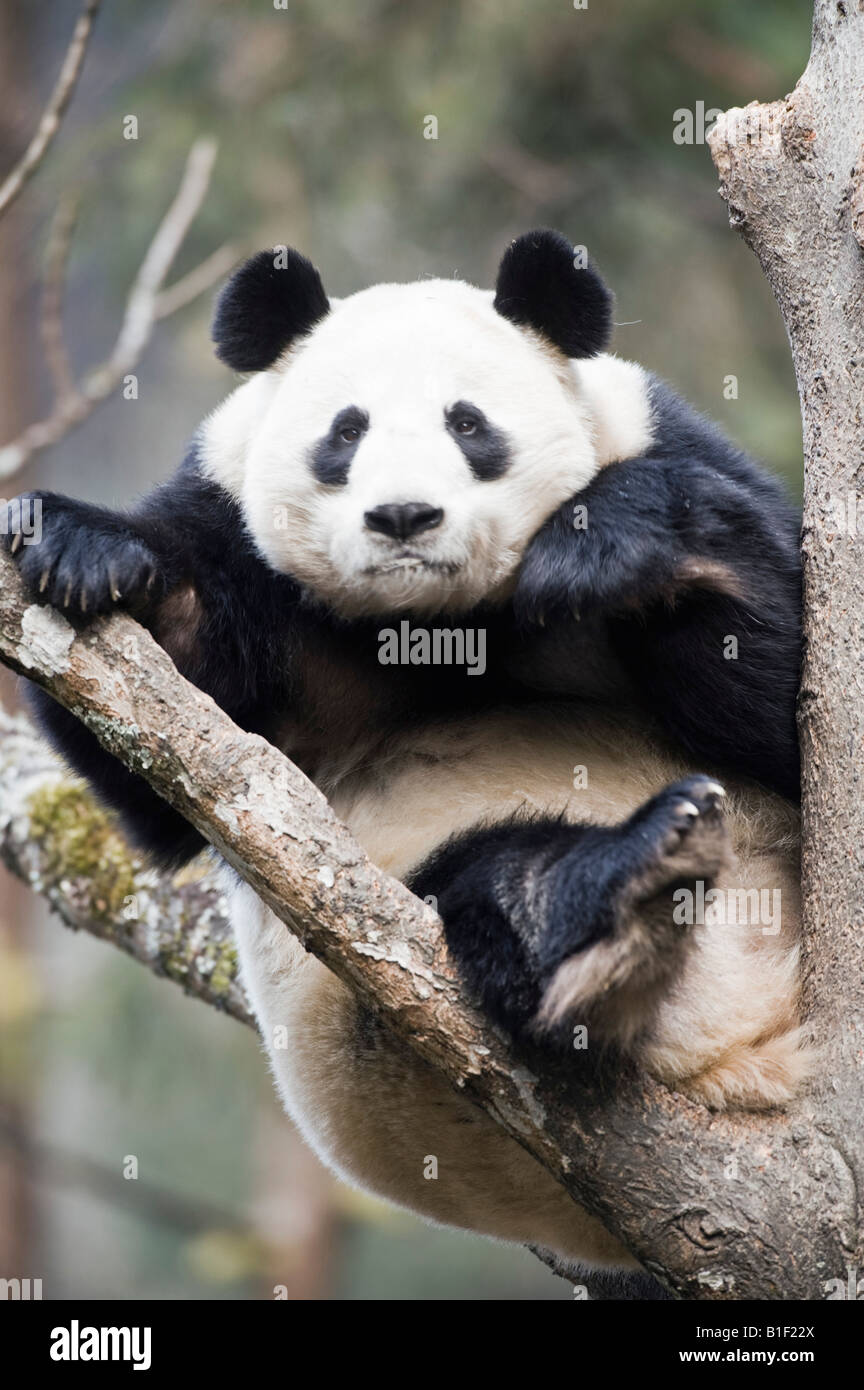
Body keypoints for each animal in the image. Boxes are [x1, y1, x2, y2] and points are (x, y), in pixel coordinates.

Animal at [4, 229, 807, 1276]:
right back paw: (623, 888)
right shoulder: (240, 548)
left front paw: (608, 545)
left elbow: (788, 696)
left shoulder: (668, 446)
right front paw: (83, 551)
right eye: (345, 433)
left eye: (467, 423)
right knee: (486, 889)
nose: (403, 517)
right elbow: (155, 781)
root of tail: (736, 1056)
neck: (440, 628)